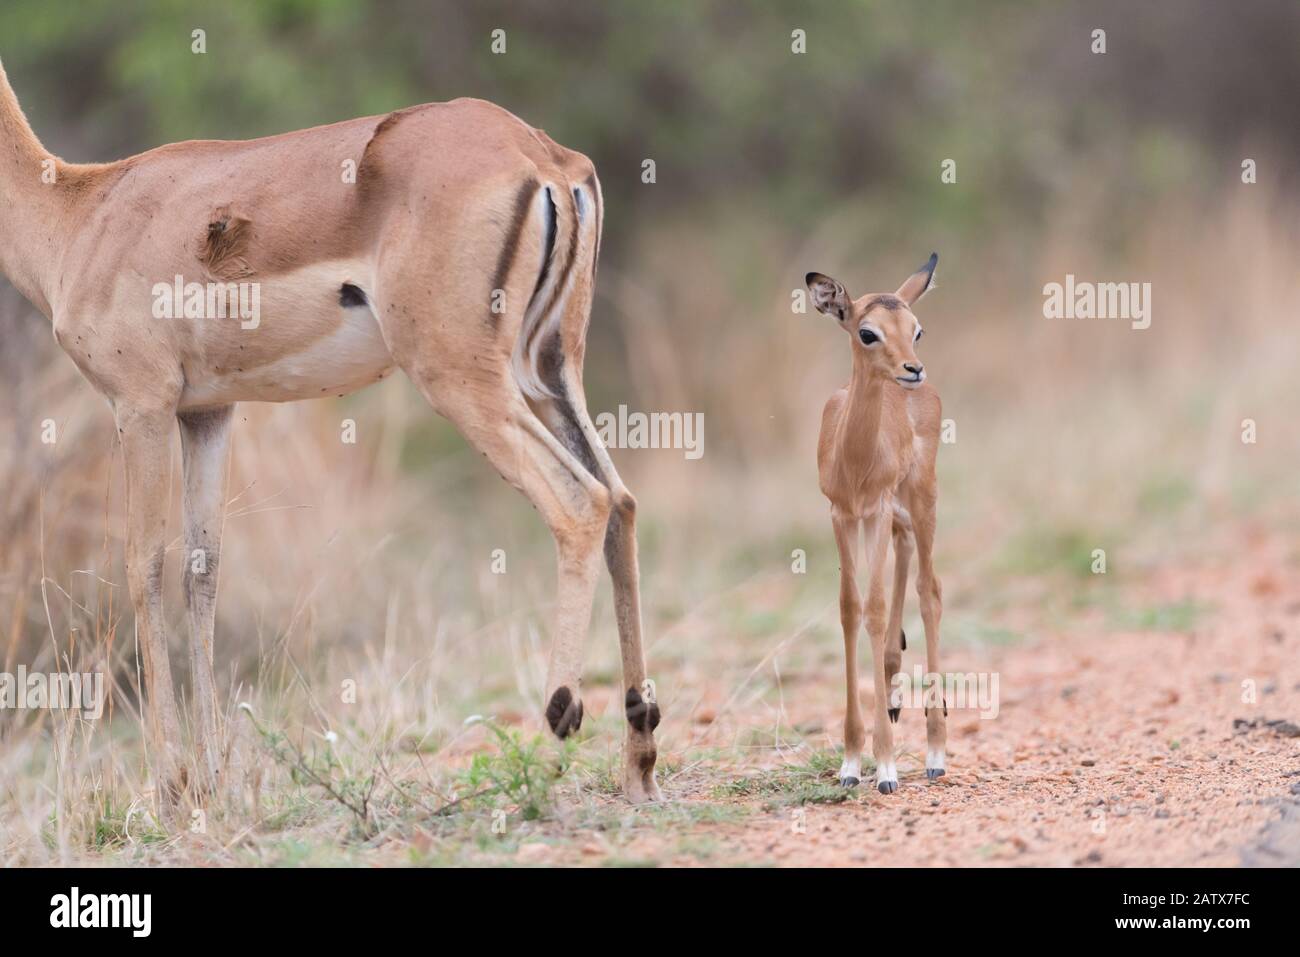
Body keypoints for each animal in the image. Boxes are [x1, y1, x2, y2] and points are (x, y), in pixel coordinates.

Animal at [0, 58, 662, 812]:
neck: (80, 214)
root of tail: (544, 157)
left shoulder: (139, 405)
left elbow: (143, 569)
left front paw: (171, 790)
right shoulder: (206, 413)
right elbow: (203, 572)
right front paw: (212, 781)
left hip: (463, 377)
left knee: (581, 502)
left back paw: (556, 728)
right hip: (550, 372)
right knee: (621, 501)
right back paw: (639, 758)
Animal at [805, 255, 946, 794]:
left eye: (916, 329)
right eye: (867, 332)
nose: (913, 368)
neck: (855, 458)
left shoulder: (878, 509)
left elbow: (877, 609)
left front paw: (885, 768)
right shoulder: (843, 515)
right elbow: (850, 610)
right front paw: (849, 763)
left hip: (920, 502)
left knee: (929, 593)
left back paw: (935, 754)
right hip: (894, 521)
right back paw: (891, 699)